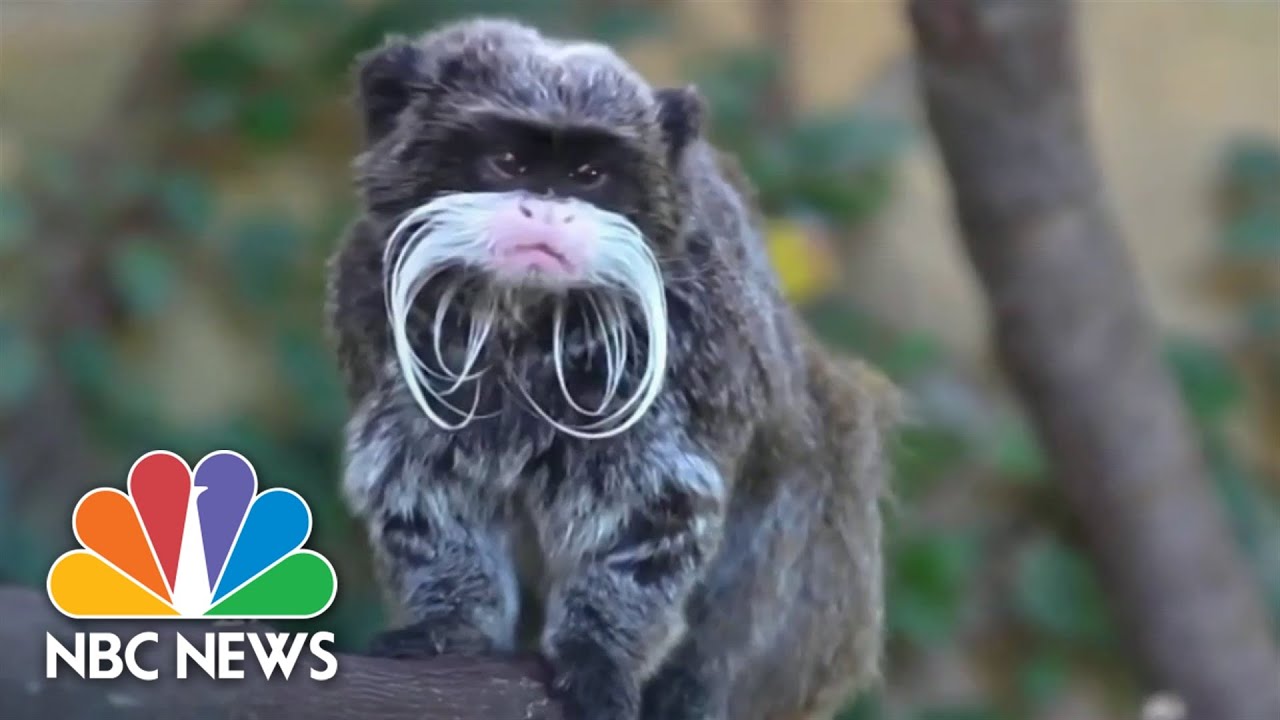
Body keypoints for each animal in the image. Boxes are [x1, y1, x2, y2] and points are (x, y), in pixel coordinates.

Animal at [325, 18, 898, 720]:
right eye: (508, 163)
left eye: (589, 173)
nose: (547, 211)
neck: (521, 315)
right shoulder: (369, 298)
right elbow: (426, 490)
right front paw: (450, 628)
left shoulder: (691, 330)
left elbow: (651, 511)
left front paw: (599, 656)